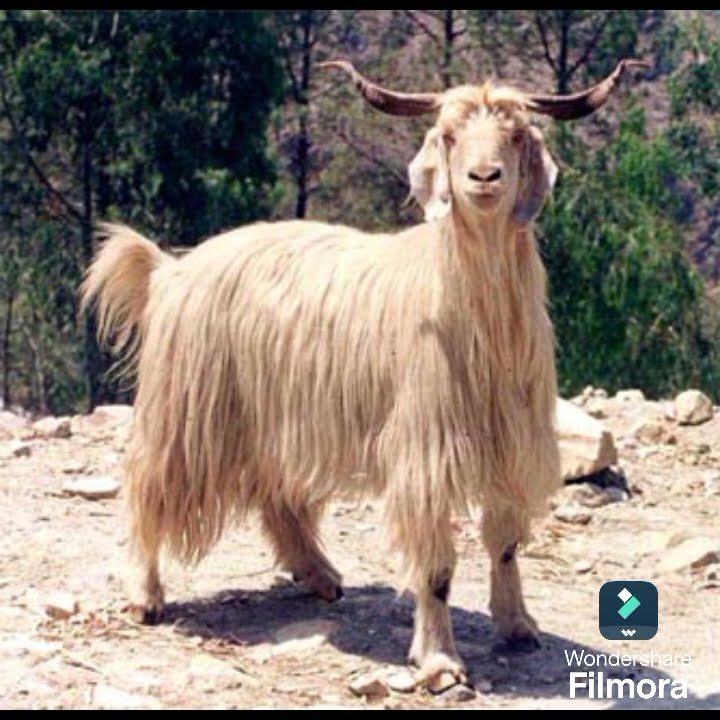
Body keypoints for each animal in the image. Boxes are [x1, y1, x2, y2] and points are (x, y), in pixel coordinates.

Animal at [80, 59, 647, 688]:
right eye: (448, 135)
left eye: (518, 135)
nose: (484, 177)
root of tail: (170, 270)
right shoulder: (426, 451)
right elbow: (437, 564)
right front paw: (439, 660)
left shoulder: (511, 443)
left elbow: (503, 543)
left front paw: (519, 627)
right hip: (186, 409)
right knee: (148, 483)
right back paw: (145, 595)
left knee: (277, 497)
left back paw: (320, 576)